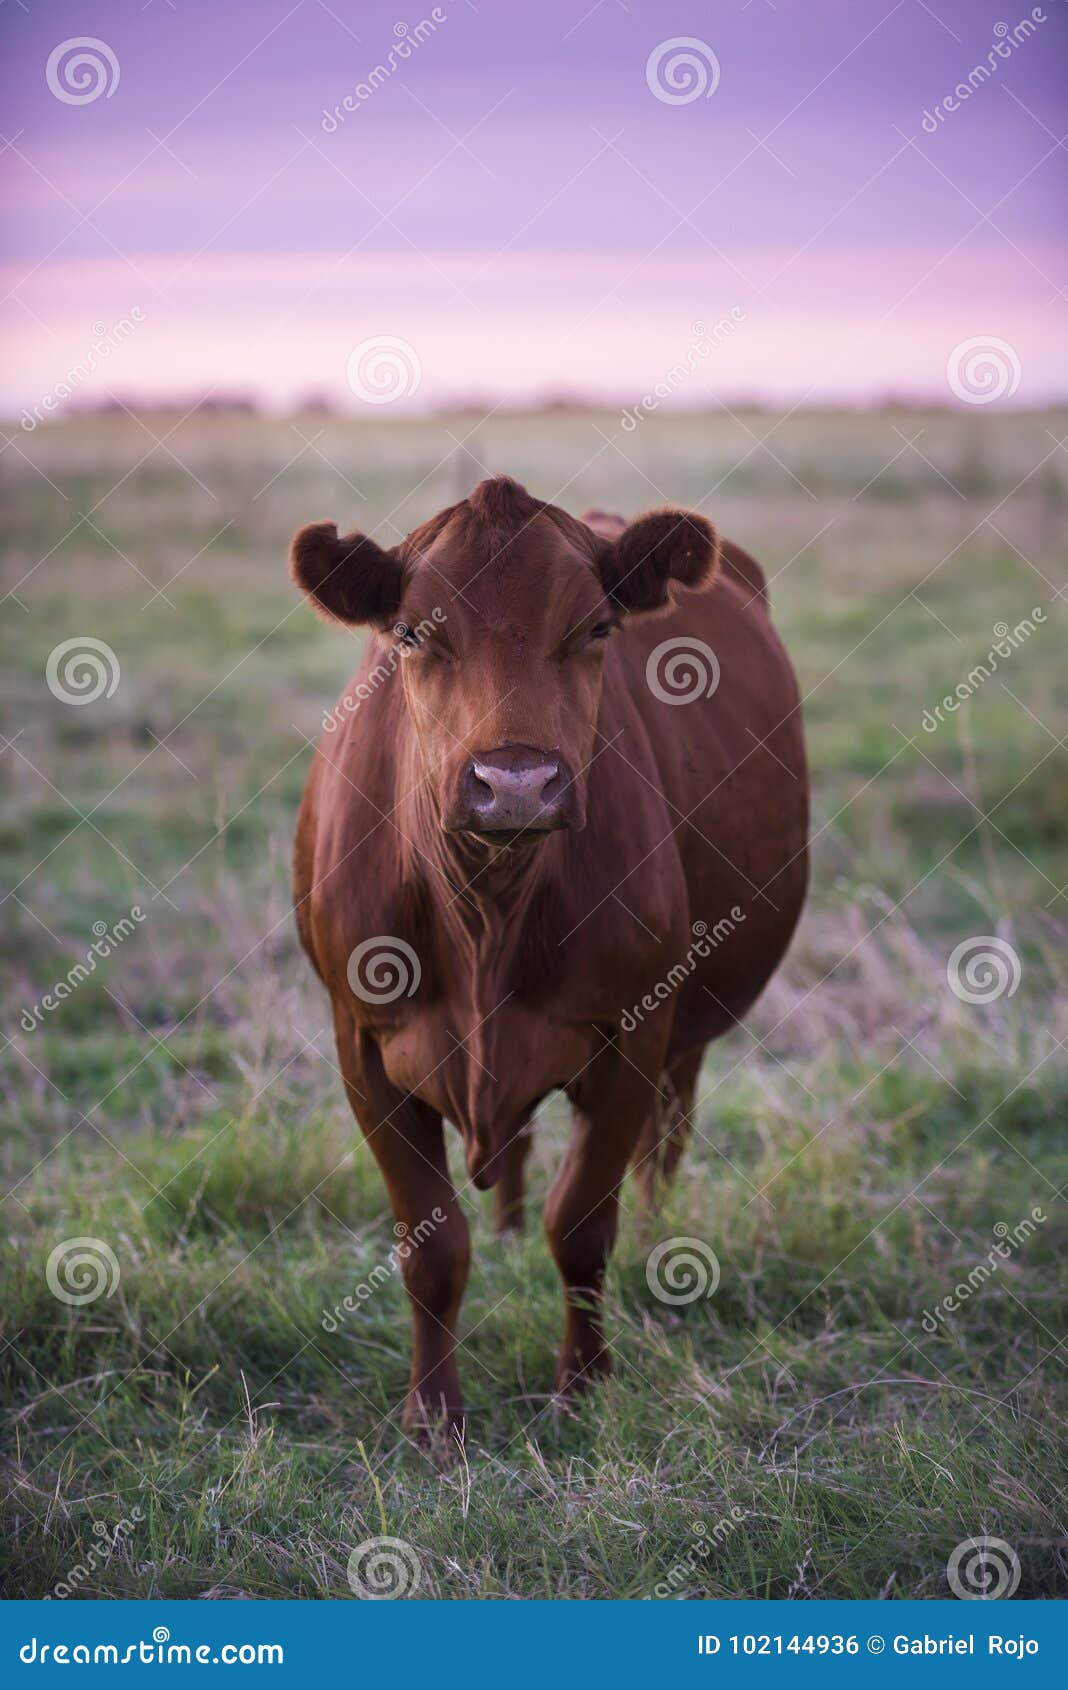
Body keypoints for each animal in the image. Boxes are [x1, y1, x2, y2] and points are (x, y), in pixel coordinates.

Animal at [290, 476, 808, 1434]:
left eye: (596, 628)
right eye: (411, 632)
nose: (516, 785)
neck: (487, 912)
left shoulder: (632, 1031)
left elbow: (581, 1226)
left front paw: (585, 1383)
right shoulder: (362, 1045)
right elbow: (431, 1246)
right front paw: (434, 1416)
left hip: (685, 1025)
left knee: (664, 1136)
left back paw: (657, 1227)